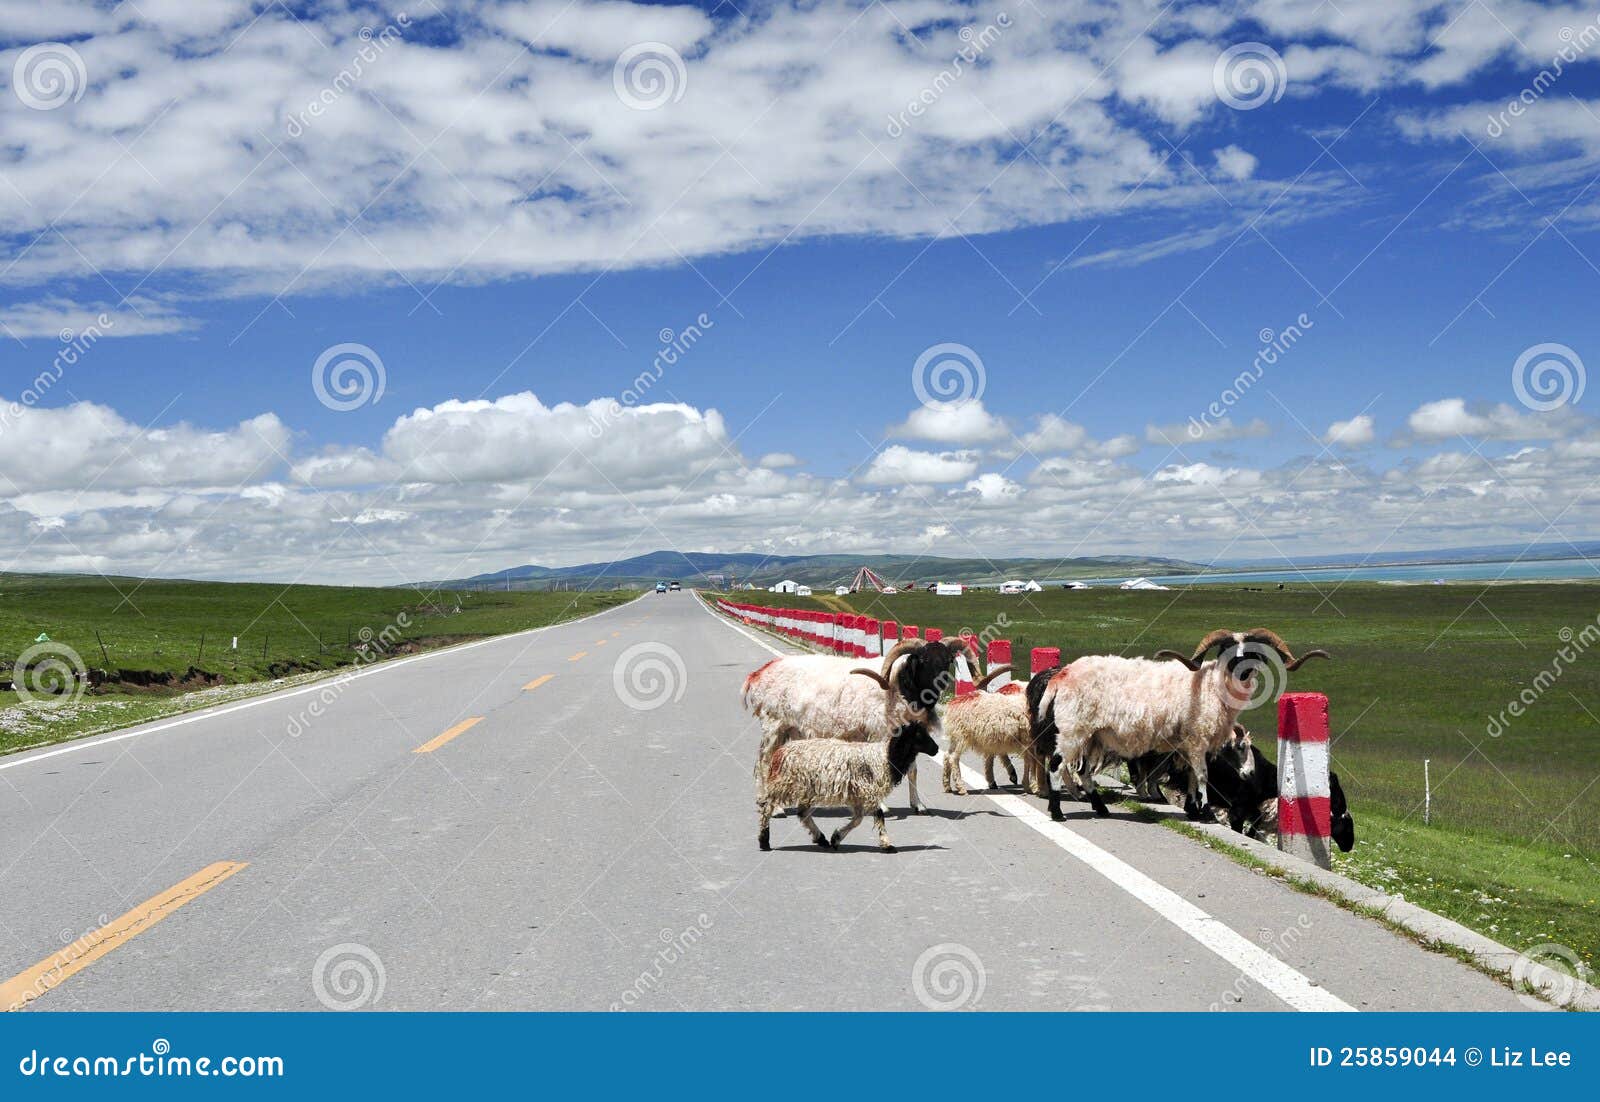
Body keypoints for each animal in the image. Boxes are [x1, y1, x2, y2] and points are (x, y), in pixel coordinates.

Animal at [744, 637, 979, 814]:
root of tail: (758, 674)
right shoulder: (879, 733)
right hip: (773, 724)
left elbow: (913, 770)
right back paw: (772, 806)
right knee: (763, 762)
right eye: (922, 659)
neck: (899, 685)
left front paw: (918, 805)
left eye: (948, 659)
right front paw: (881, 807)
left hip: (786, 729)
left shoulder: (911, 734)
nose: (943, 681)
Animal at [757, 722, 940, 852]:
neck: (885, 757)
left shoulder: (858, 795)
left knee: (803, 813)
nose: (937, 748)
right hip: (785, 784)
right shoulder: (868, 791)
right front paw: (887, 845)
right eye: (919, 735)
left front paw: (836, 838)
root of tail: (780, 752)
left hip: (806, 789)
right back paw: (764, 840)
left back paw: (821, 839)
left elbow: (858, 820)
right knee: (767, 807)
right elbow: (878, 816)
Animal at [1030, 629, 1329, 822]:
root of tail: (1063, 675)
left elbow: (1191, 777)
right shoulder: (1198, 739)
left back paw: (1100, 808)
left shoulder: (1190, 745)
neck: (1211, 685)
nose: (1242, 669)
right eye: (1226, 650)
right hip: (1073, 729)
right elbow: (1203, 776)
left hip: (1094, 737)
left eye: (1255, 651)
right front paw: (1205, 812)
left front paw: (1193, 809)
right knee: (1056, 766)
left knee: (1084, 772)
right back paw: (1057, 813)